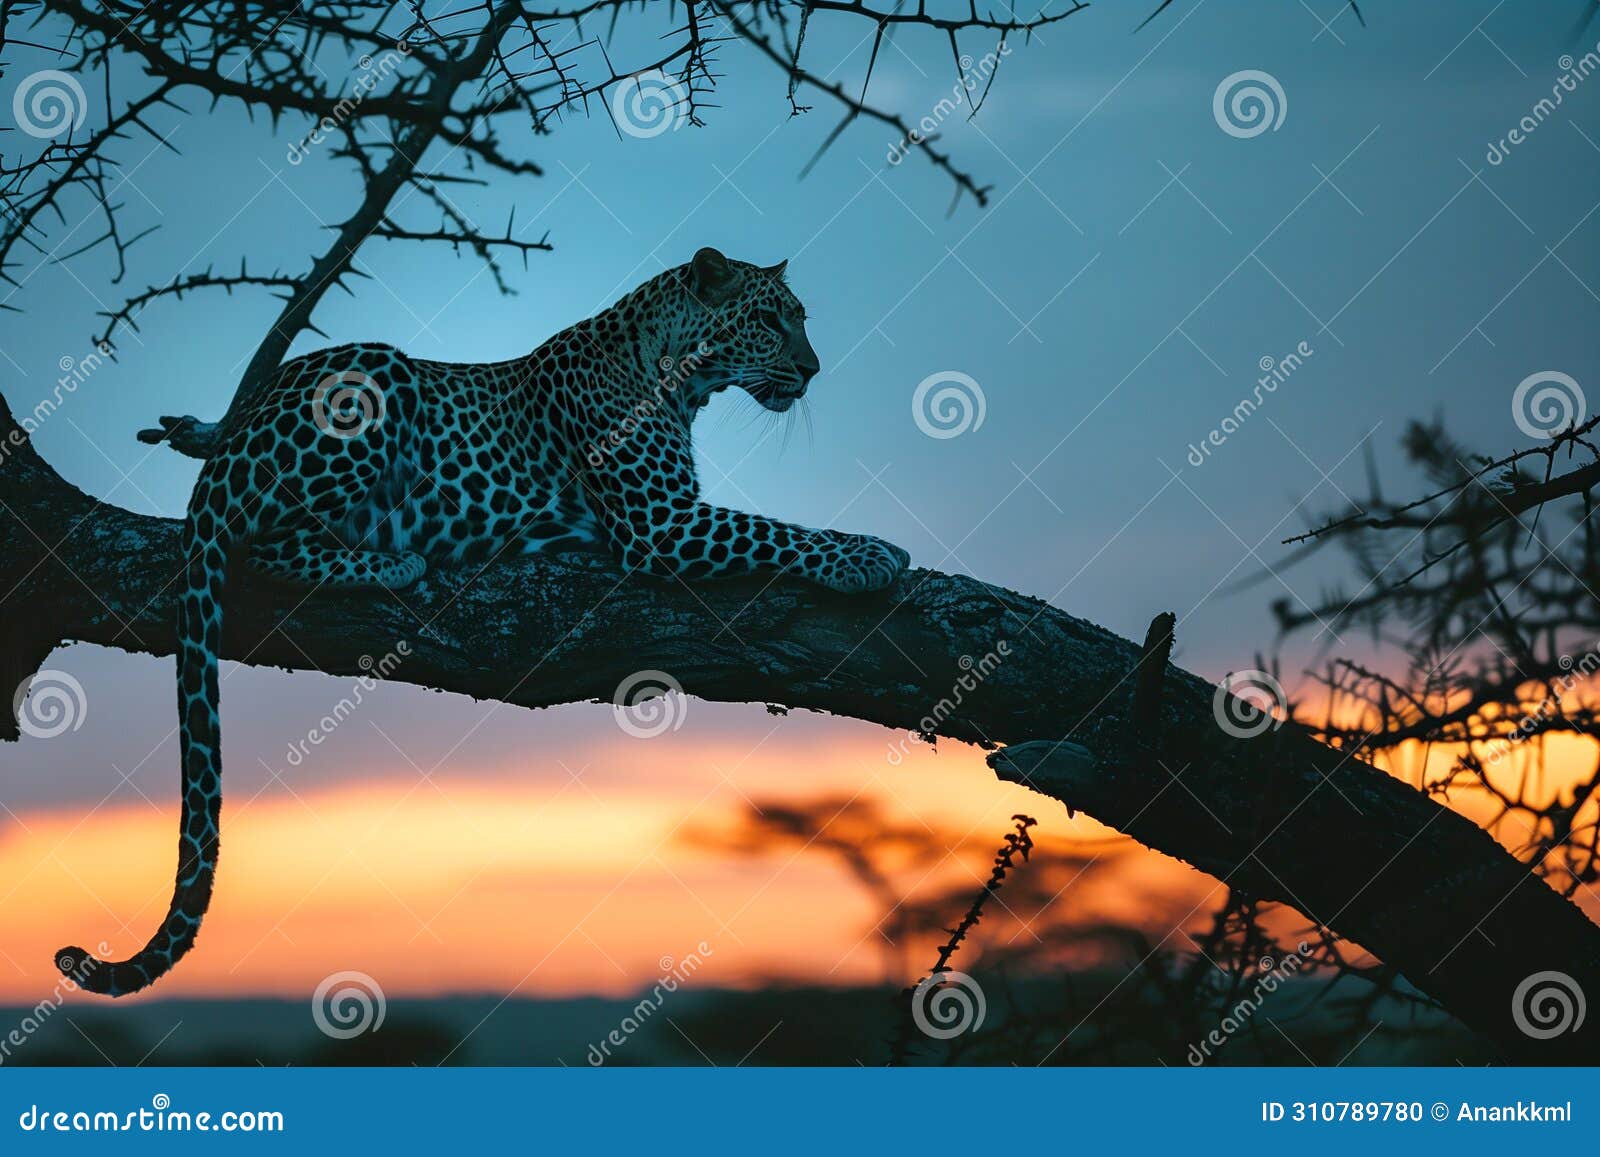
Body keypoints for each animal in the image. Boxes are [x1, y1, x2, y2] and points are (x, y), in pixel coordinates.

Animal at [56, 247, 911, 995]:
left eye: (798, 320)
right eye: (769, 320)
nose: (812, 370)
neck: (677, 374)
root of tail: (229, 442)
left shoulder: (667, 515)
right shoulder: (658, 522)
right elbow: (780, 529)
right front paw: (871, 553)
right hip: (374, 377)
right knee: (263, 547)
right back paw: (393, 564)